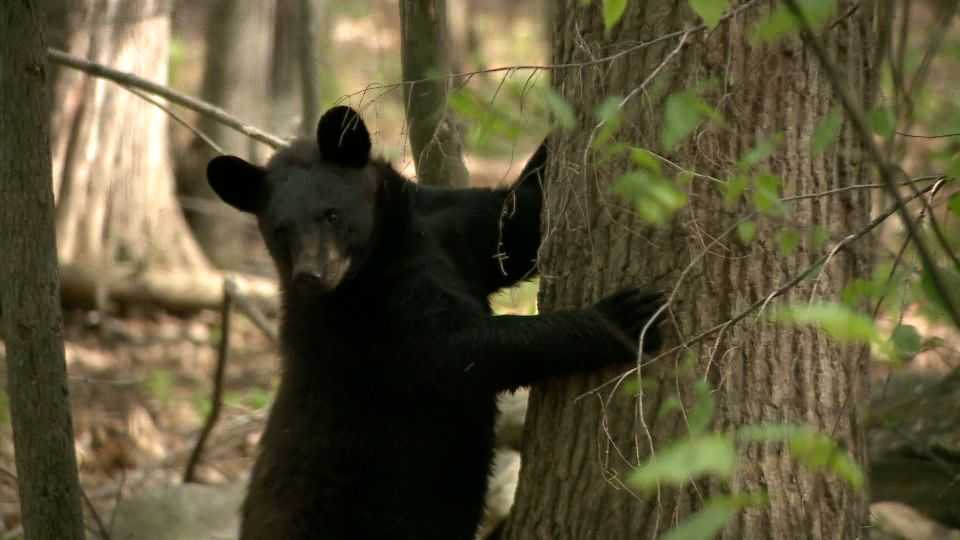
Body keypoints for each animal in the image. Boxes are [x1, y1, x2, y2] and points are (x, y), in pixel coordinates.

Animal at [206, 105, 663, 540]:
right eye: (280, 229)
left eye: (331, 214)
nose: (311, 276)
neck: (387, 247)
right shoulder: (376, 323)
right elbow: (462, 350)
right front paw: (622, 318)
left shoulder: (450, 227)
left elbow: (518, 219)